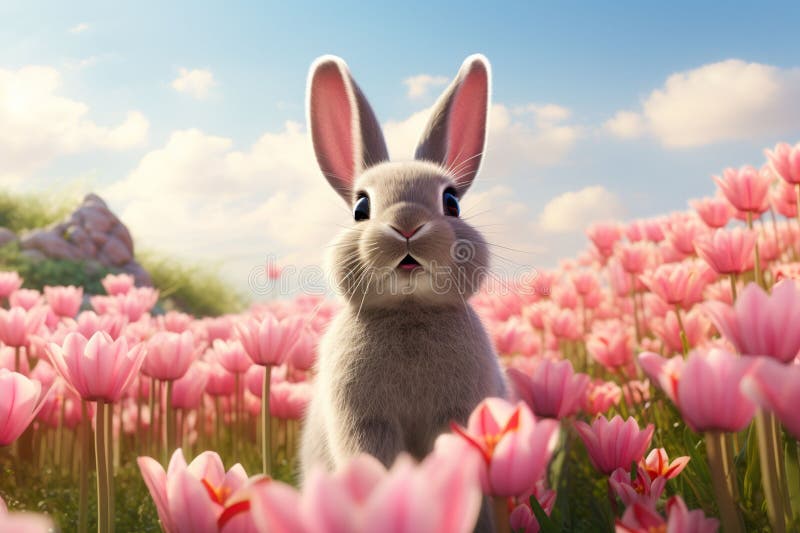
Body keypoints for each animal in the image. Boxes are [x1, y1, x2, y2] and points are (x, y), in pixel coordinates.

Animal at [299, 54, 507, 518]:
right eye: (361, 207)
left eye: (452, 202)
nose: (407, 225)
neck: (410, 309)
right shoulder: (363, 421)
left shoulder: (457, 414)